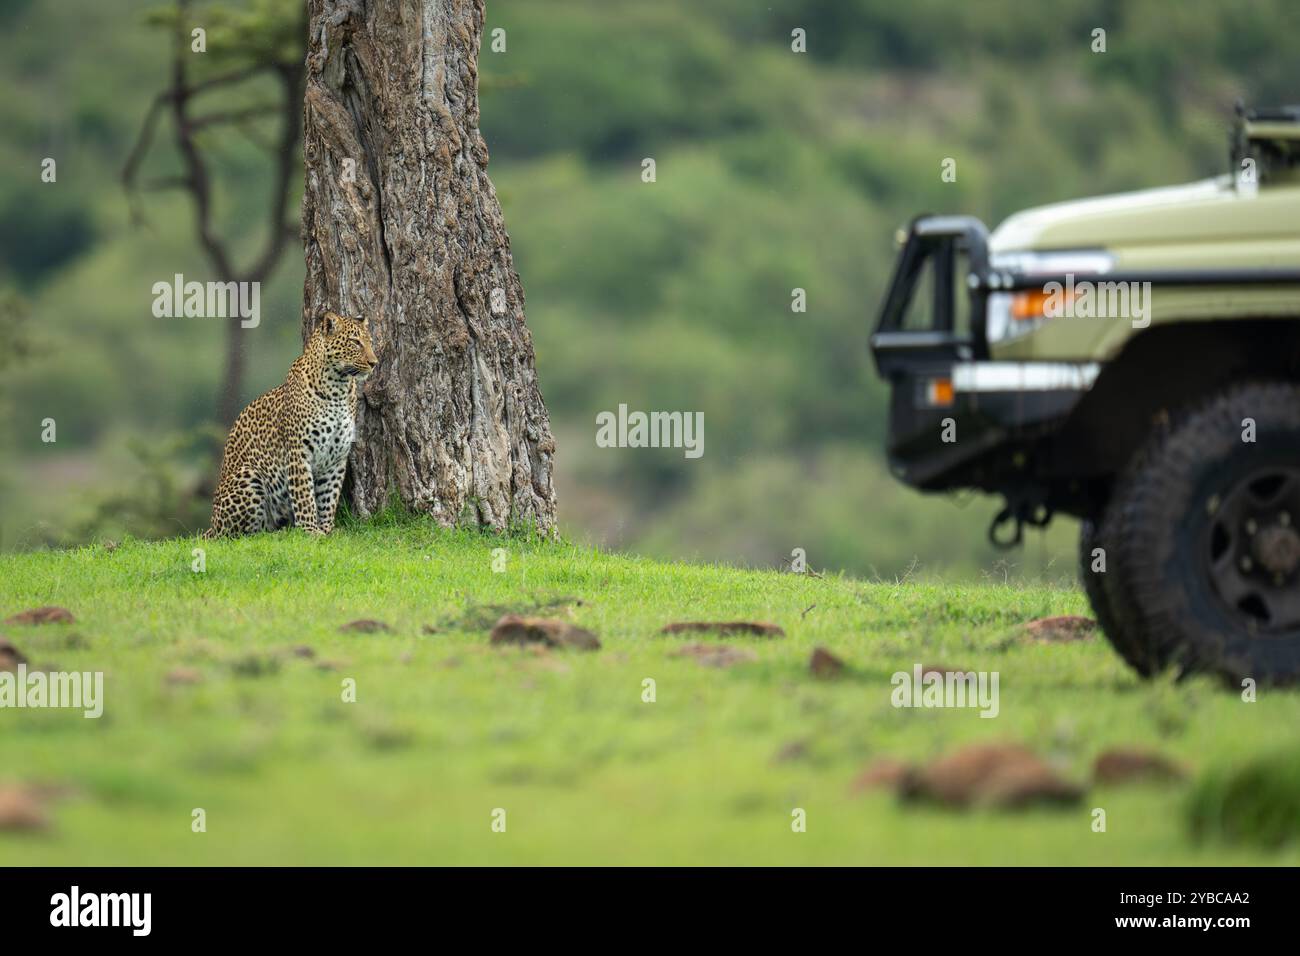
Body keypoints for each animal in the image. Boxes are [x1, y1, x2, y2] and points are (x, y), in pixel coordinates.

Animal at [203, 311, 378, 538]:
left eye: (370, 342)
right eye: (355, 342)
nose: (374, 362)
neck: (337, 389)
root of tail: (212, 524)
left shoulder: (337, 458)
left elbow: (328, 497)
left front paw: (327, 529)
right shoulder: (298, 452)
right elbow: (305, 497)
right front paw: (311, 531)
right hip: (249, 476)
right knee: (240, 535)